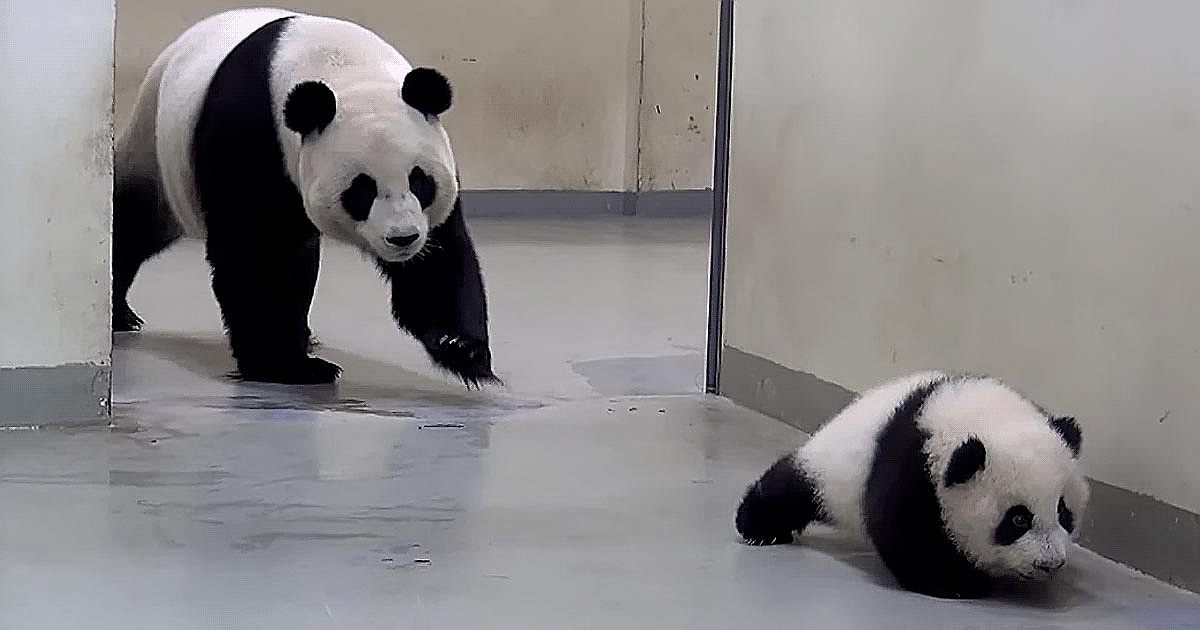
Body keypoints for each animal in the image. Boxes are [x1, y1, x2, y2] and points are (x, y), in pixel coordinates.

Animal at [113, 7, 498, 386]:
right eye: (362, 189)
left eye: (420, 181)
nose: (403, 239)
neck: (345, 71)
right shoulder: (252, 131)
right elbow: (254, 252)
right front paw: (287, 366)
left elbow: (441, 255)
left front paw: (460, 346)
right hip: (156, 148)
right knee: (135, 223)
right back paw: (119, 314)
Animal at [735, 370, 1088, 599]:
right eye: (1017, 519)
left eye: (1063, 512)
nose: (1050, 564)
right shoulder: (911, 467)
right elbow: (904, 531)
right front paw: (955, 581)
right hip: (830, 470)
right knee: (792, 486)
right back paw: (759, 527)